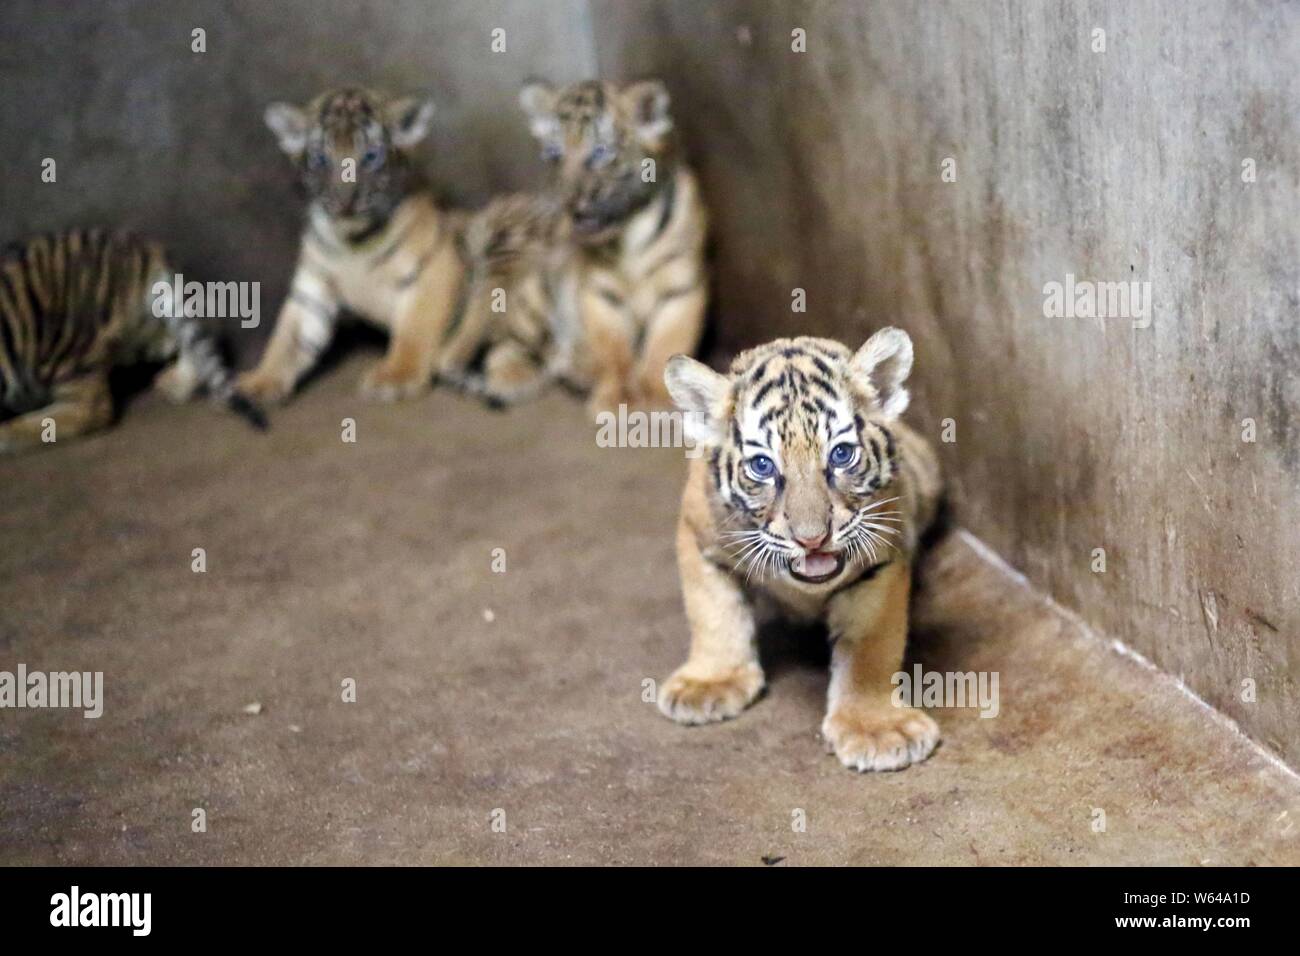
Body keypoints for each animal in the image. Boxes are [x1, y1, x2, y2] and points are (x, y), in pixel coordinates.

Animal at [0, 229, 266, 455]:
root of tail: (138, 248)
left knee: (92, 410)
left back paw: (7, 435)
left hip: (62, 347)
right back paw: (175, 383)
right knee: (207, 322)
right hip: (144, 328)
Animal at [235, 87, 465, 405]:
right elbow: (286, 338)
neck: (351, 243)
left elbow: (416, 327)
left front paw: (397, 376)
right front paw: (262, 380)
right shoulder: (313, 289)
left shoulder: (435, 267)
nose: (345, 202)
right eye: (321, 158)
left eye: (370, 156)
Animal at [657, 328, 945, 772]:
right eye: (762, 465)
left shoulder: (882, 561)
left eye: (842, 454)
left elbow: (872, 648)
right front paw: (710, 683)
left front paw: (877, 729)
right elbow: (714, 614)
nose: (812, 539)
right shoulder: (698, 537)